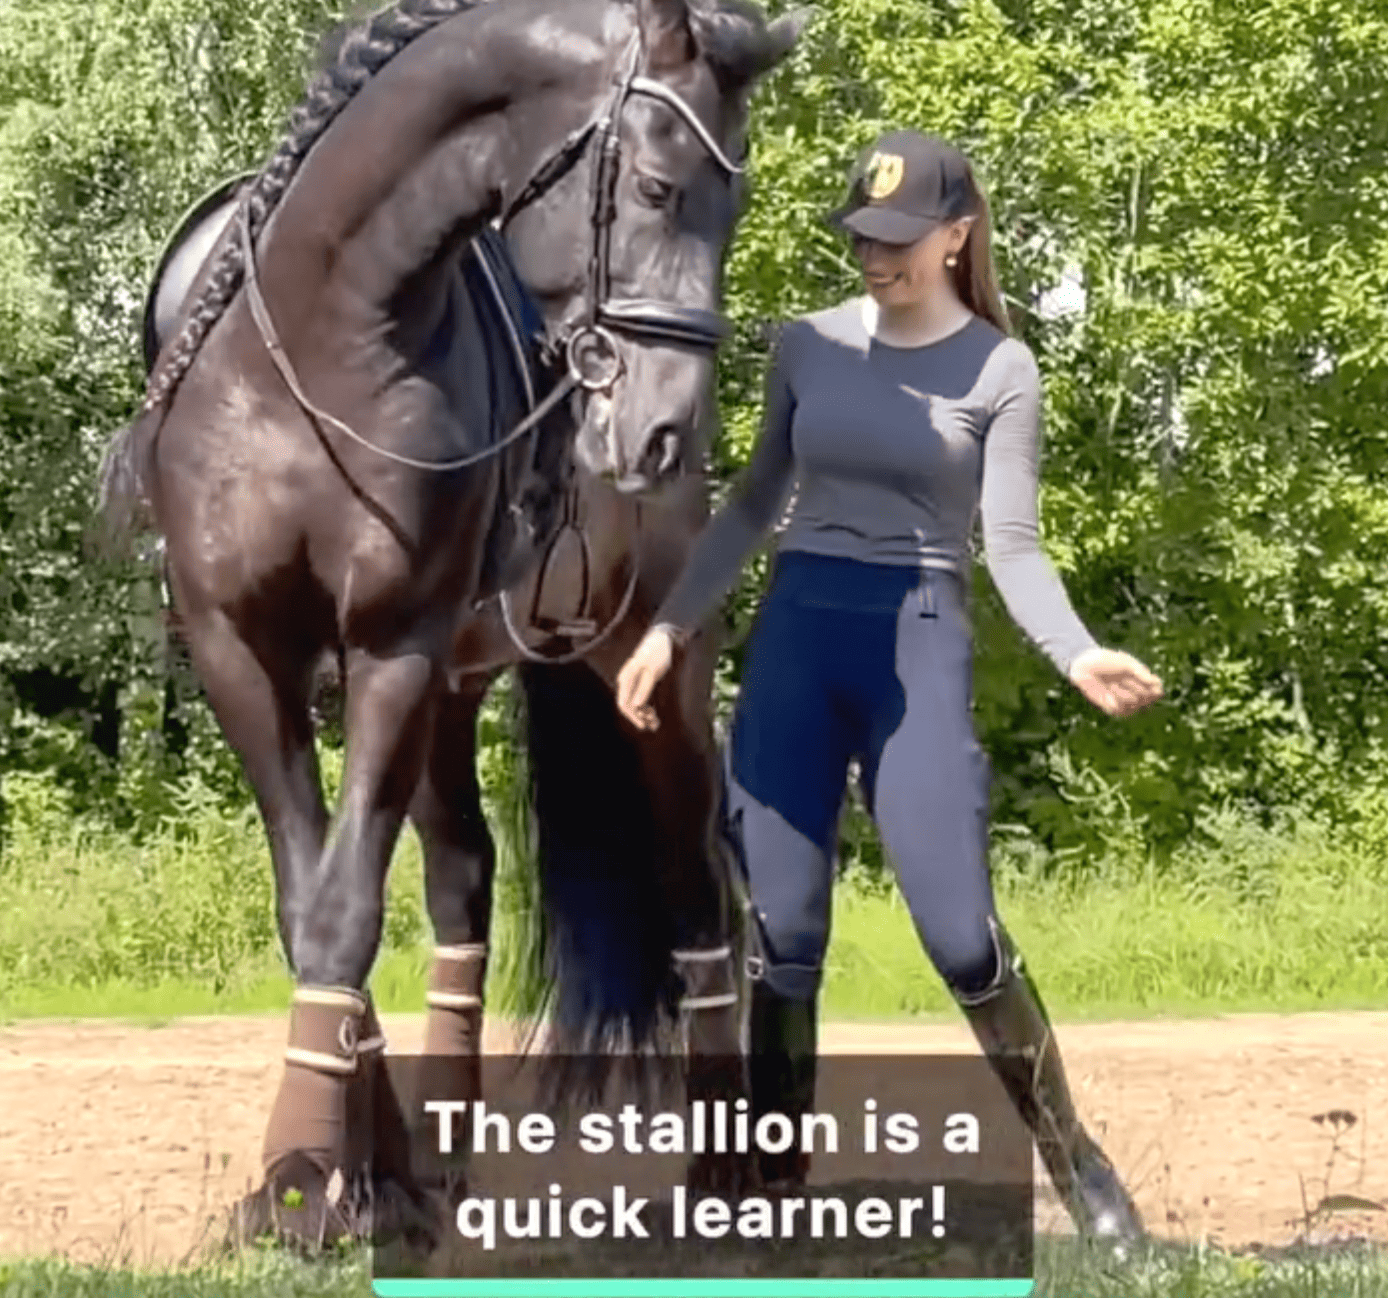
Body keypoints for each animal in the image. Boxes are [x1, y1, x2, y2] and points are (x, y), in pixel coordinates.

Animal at [101, 0, 804, 1251]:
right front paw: (358, 1172)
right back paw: (443, 1155)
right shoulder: (243, 653)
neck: (324, 340)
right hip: (455, 687)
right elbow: (315, 903)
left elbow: (342, 904)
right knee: (463, 882)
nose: (661, 430)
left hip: (650, 681)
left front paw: (302, 1170)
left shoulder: (391, 648)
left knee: (698, 883)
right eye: (660, 187)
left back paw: (724, 1168)